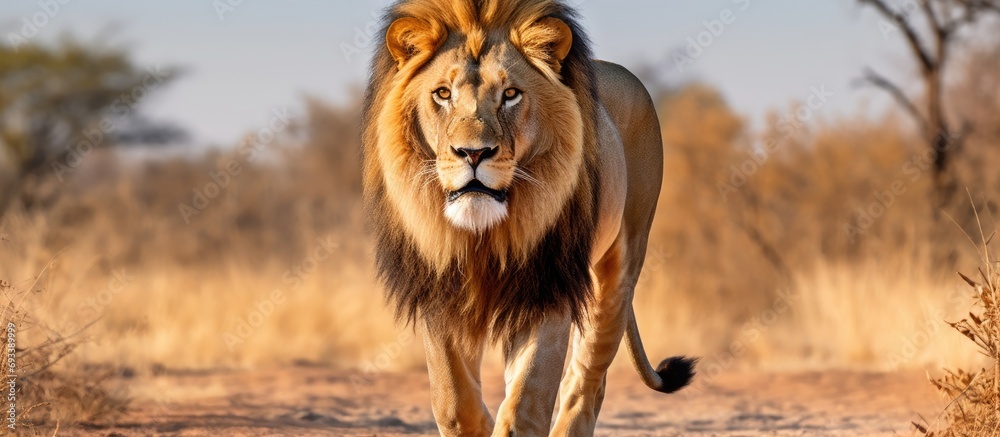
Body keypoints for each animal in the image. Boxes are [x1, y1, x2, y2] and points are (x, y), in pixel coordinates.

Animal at [361, 0, 695, 435]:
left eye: (511, 95)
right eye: (443, 94)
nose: (473, 153)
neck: (483, 233)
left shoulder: (547, 285)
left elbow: (525, 403)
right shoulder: (441, 285)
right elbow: (454, 401)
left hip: (618, 272)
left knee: (585, 383)